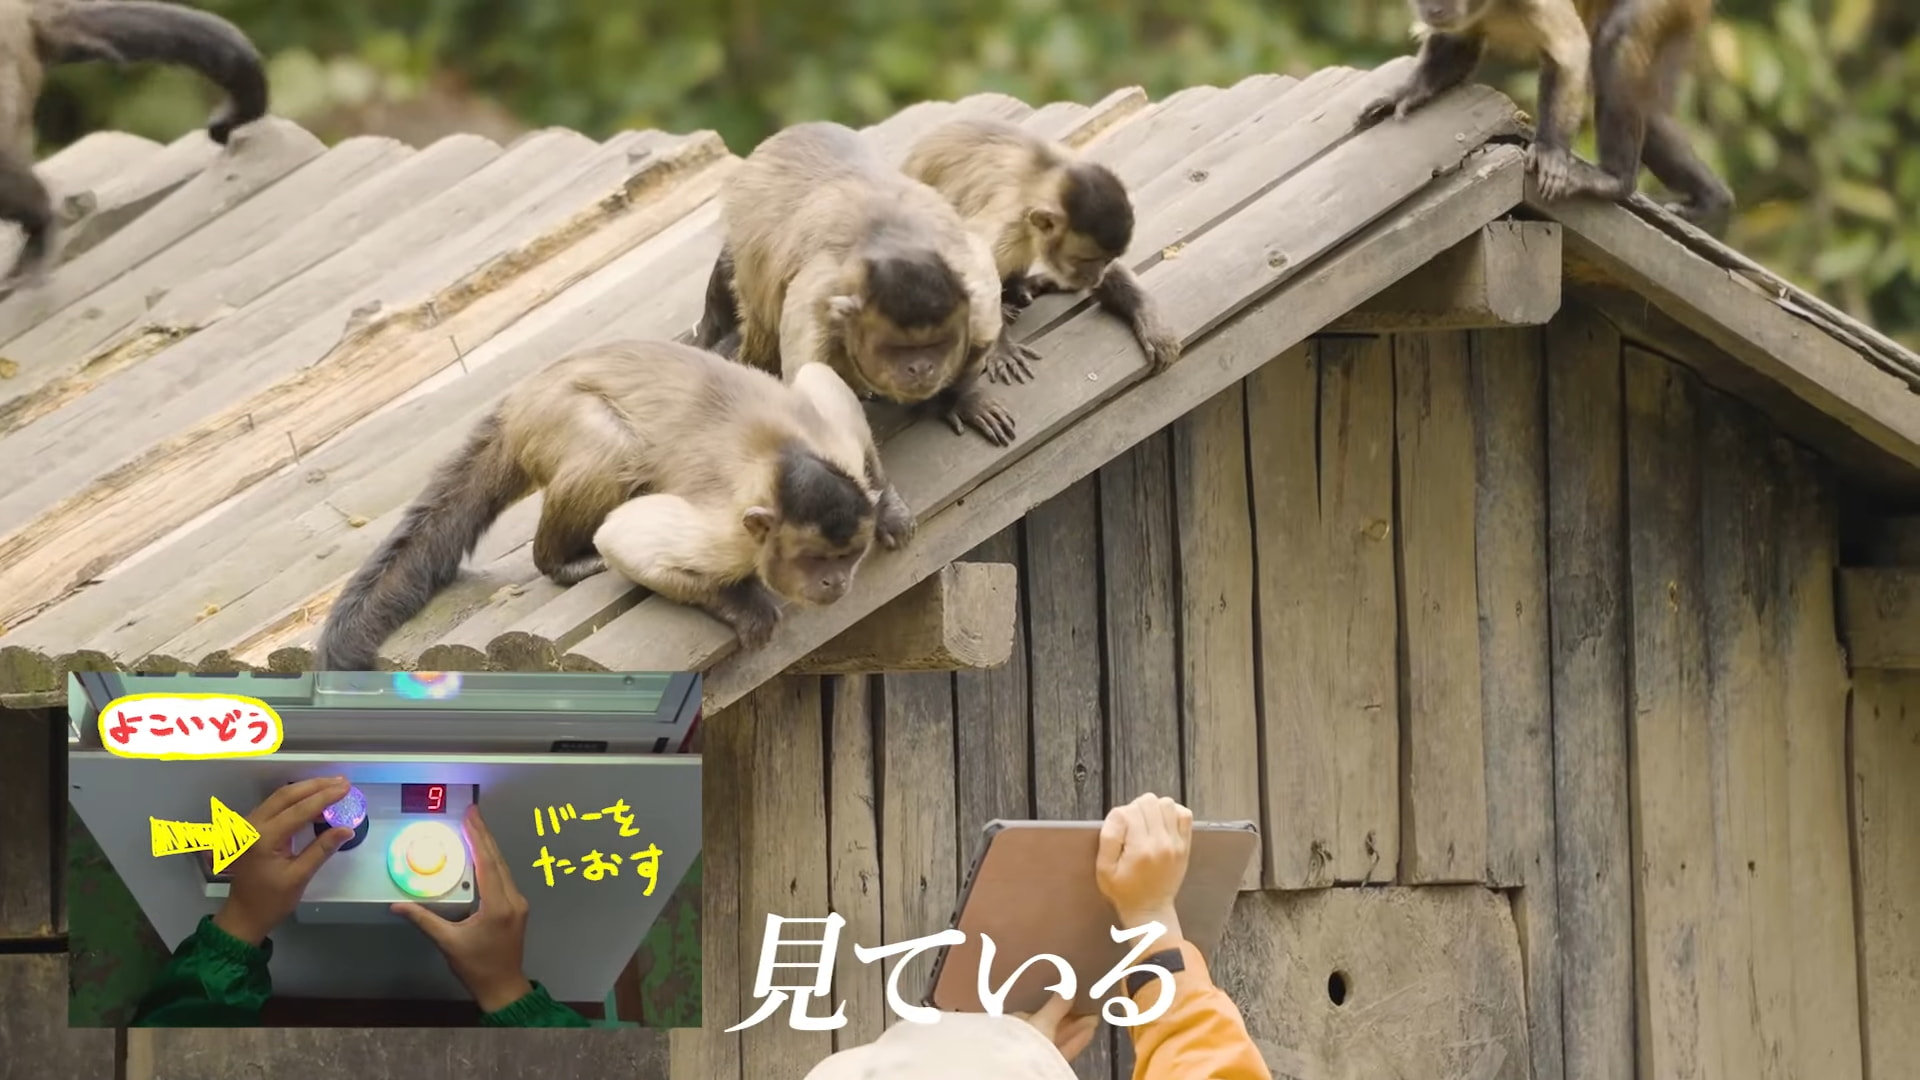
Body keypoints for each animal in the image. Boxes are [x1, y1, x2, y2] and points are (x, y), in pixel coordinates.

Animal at [313, 340, 916, 669]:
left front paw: (887, 506)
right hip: (558, 416)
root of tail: (520, 396)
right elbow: (626, 540)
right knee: (612, 449)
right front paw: (743, 605)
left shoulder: (833, 444)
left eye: (847, 556)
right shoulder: (728, 535)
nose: (835, 583)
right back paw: (560, 562)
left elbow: (823, 384)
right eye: (814, 560)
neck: (779, 463)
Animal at [690, 121, 1020, 448]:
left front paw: (958, 398)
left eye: (936, 344)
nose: (921, 367)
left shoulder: (972, 285)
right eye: (896, 348)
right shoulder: (818, 300)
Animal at [900, 117, 1181, 382]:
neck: (1037, 179)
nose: (1095, 278)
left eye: (1106, 260)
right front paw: (1000, 348)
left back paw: (1019, 287)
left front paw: (1149, 321)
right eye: (1085, 260)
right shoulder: (1009, 224)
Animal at [1356, 0, 1731, 229]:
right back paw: (1713, 199)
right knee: (1651, 115)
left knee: (1614, 43)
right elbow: (1457, 42)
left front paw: (1550, 152)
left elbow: (1571, 54)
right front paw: (1406, 94)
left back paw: (1616, 180)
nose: (1432, 7)